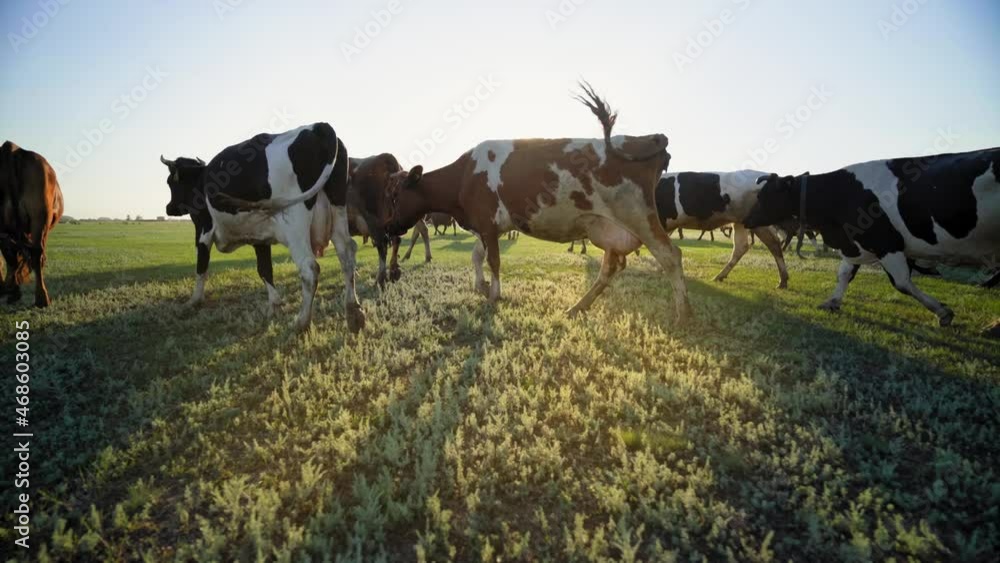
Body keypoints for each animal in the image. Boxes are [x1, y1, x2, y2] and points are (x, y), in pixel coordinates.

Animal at [159, 122, 365, 333]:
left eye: (170, 182)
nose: (169, 208)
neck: (201, 181)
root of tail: (318, 126)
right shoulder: (259, 237)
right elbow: (265, 269)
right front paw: (274, 305)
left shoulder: (203, 230)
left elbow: (201, 266)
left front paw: (194, 300)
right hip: (337, 211)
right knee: (347, 255)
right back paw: (354, 313)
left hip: (295, 222)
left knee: (309, 269)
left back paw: (302, 321)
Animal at [378, 83, 693, 322]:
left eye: (395, 195)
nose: (389, 225)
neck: (465, 175)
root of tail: (650, 139)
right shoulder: (486, 226)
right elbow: (477, 257)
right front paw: (481, 286)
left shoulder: (487, 224)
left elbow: (493, 260)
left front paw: (493, 295)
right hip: (606, 227)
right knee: (610, 268)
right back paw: (577, 307)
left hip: (638, 216)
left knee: (670, 255)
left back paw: (682, 315)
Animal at [743, 147, 1000, 326]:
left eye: (765, 197)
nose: (746, 220)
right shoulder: (854, 242)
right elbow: (844, 274)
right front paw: (833, 302)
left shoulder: (886, 243)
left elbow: (901, 282)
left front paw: (943, 312)